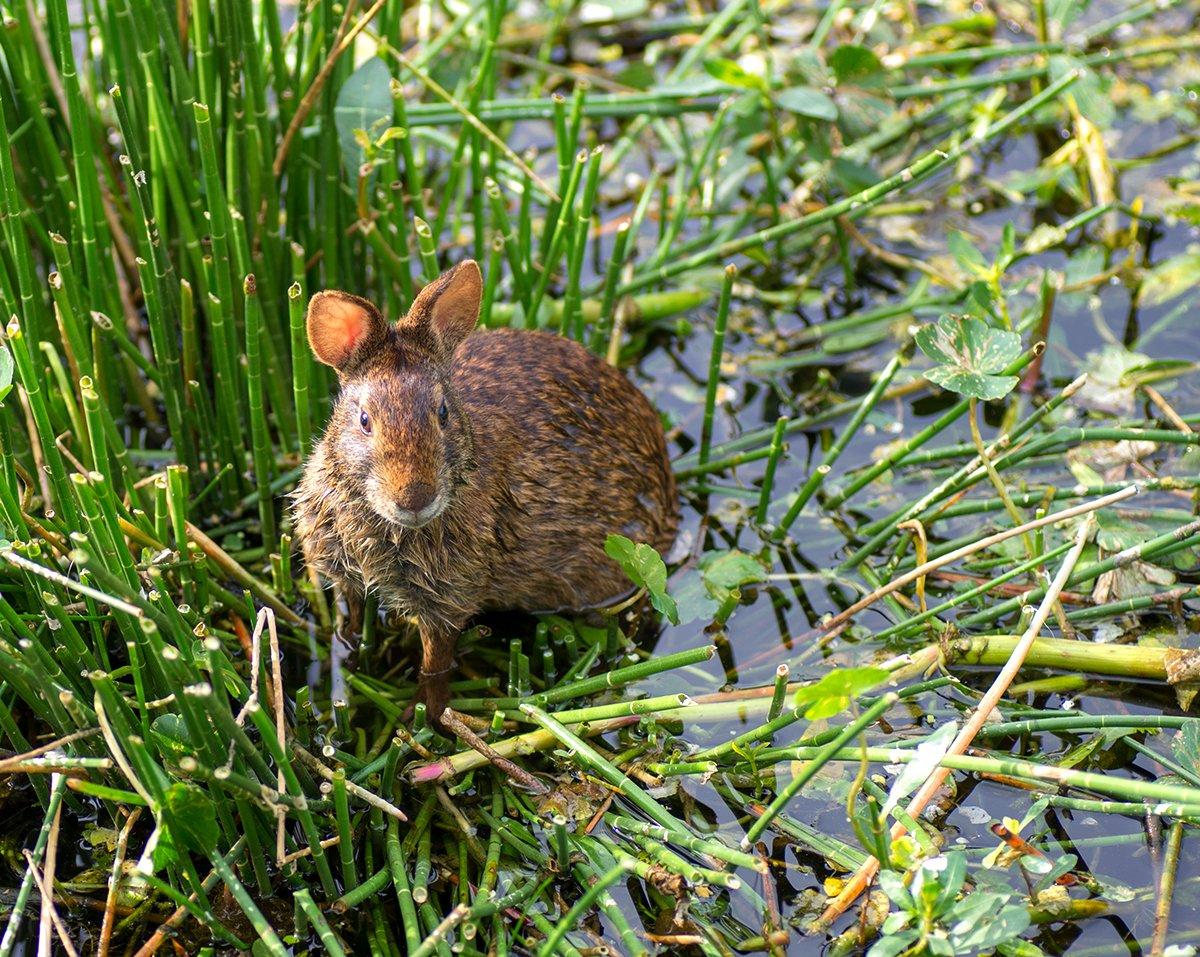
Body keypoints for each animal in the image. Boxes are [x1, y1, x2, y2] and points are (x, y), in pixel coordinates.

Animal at [291, 260, 681, 729]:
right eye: (365, 420)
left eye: (443, 413)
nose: (414, 498)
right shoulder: (341, 573)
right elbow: (347, 622)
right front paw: (339, 665)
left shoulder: (447, 598)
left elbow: (436, 661)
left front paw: (421, 714)